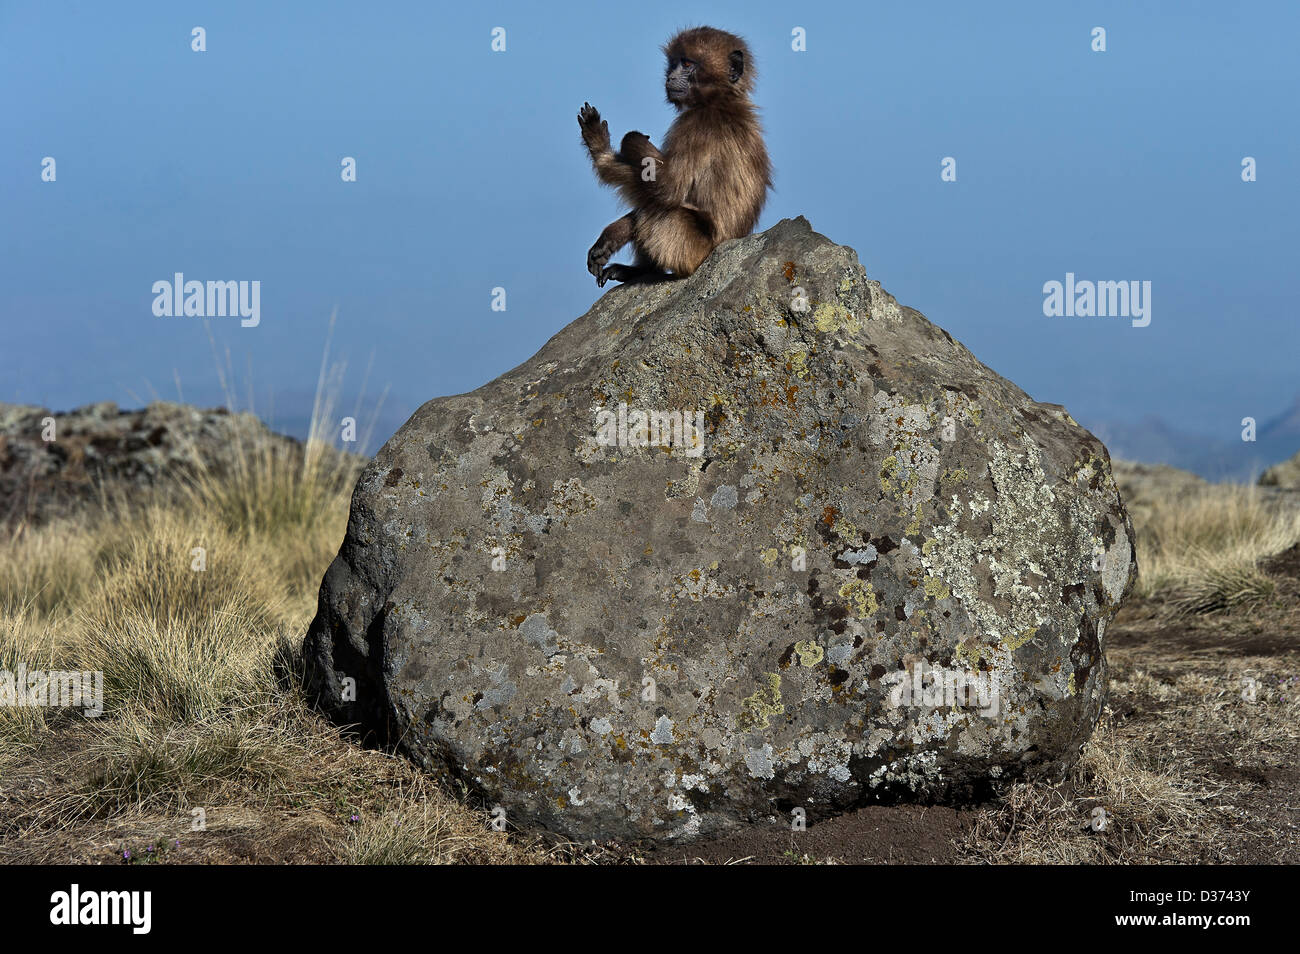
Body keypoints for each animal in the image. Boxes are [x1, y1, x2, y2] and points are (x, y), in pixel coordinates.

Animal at [578, 26, 772, 287]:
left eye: (688, 63)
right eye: (673, 64)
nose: (669, 78)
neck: (721, 99)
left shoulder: (696, 125)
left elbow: (667, 188)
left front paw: (618, 142)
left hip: (691, 249)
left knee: (663, 209)